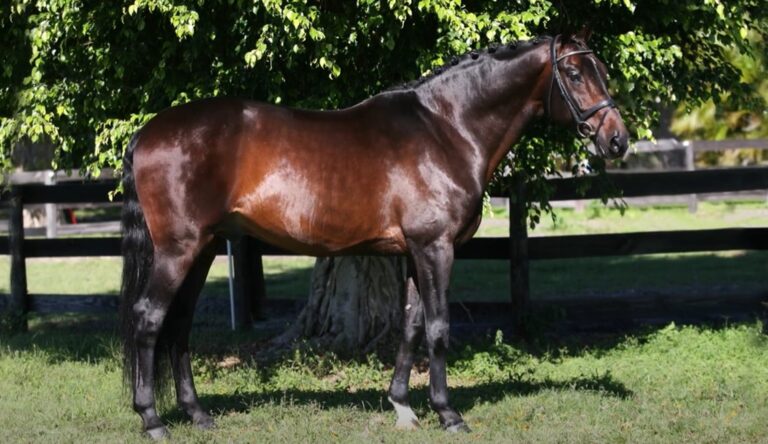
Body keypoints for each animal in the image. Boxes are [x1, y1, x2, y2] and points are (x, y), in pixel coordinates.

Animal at [120, 30, 629, 438]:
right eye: (574, 73)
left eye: (601, 70)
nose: (617, 140)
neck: (446, 129)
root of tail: (148, 133)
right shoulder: (436, 248)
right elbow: (439, 327)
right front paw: (448, 414)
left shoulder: (414, 252)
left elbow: (412, 324)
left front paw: (402, 405)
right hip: (179, 250)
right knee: (148, 317)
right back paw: (153, 420)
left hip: (204, 249)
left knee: (179, 324)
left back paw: (198, 415)